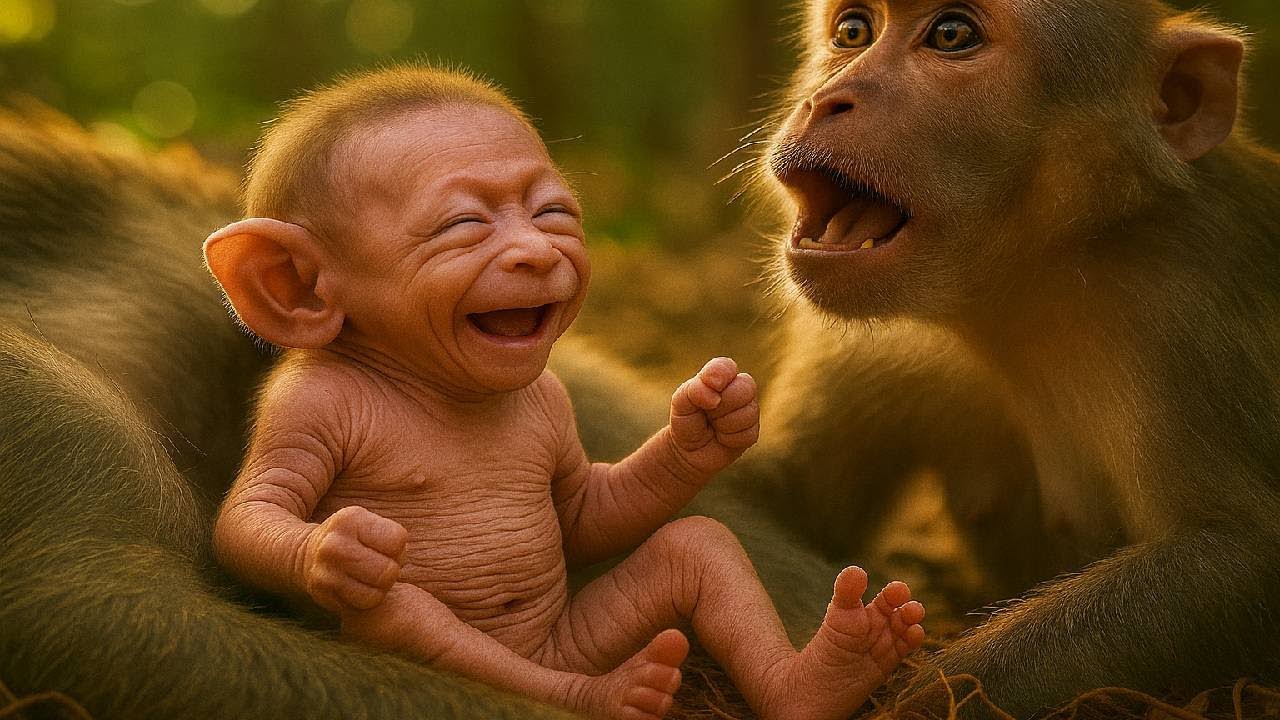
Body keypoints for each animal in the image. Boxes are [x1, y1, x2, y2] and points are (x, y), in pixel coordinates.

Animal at [749, 0, 1280, 715]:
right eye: (852, 31)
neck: (1015, 284)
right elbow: (785, 502)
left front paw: (924, 695)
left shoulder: (1186, 301)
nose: (826, 100)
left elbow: (1241, 555)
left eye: (951, 35)